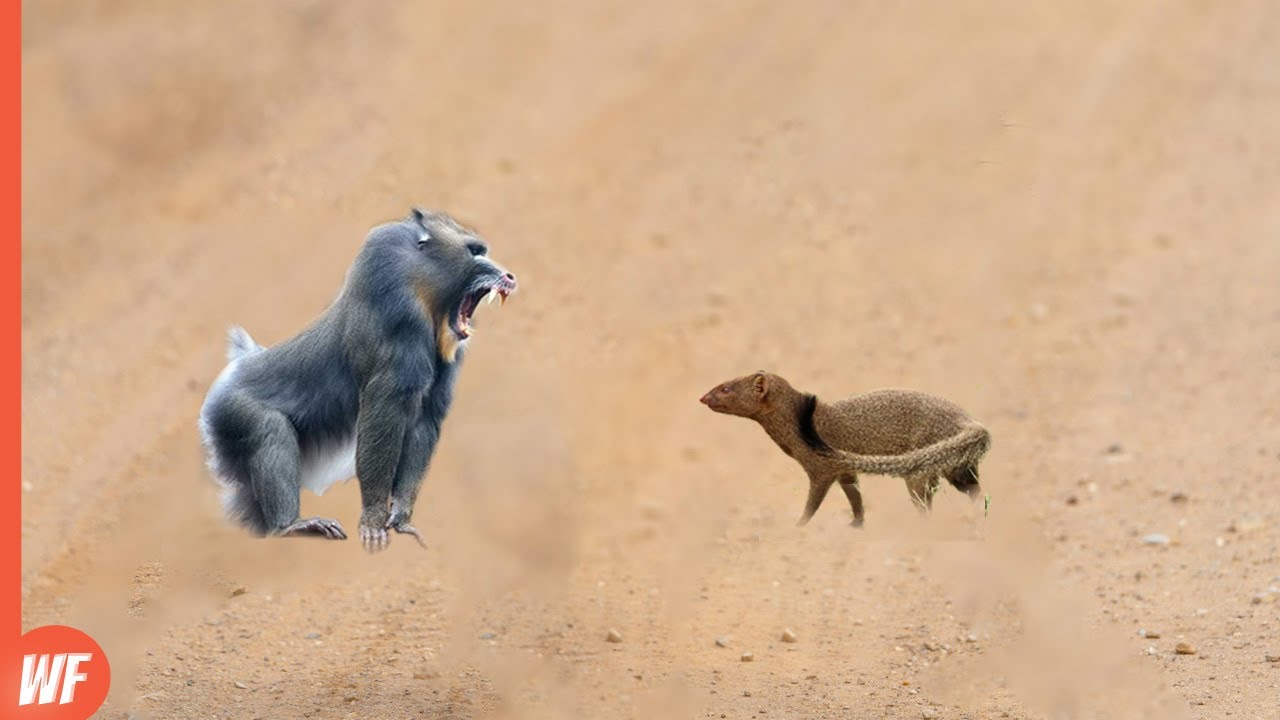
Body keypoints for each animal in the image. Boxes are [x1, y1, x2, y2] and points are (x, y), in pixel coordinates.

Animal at [198, 208, 516, 553]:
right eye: (475, 252)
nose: (509, 276)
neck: (420, 286)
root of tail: (237, 366)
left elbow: (424, 422)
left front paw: (401, 518)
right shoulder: (398, 329)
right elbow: (382, 419)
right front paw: (373, 522)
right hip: (236, 411)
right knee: (270, 431)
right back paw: (290, 525)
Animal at [700, 371, 990, 527]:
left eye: (726, 388)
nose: (702, 397)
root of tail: (967, 420)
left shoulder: (821, 466)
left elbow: (813, 502)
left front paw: (799, 524)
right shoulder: (844, 470)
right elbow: (854, 496)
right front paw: (857, 523)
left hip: (923, 466)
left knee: (926, 499)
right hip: (958, 466)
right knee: (974, 489)